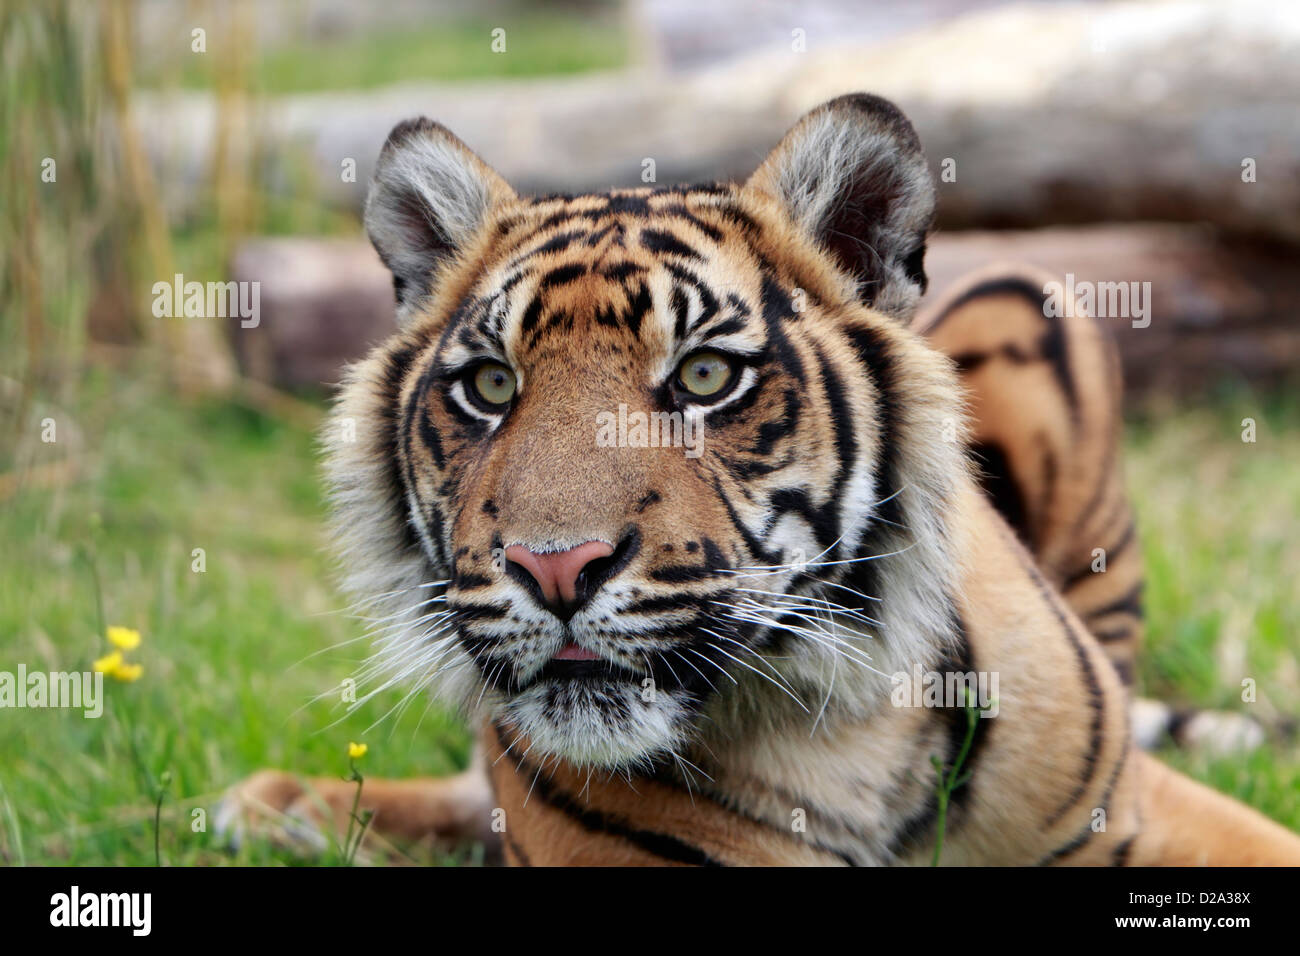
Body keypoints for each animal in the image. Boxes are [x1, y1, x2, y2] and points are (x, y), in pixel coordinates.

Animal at [222, 93, 1300, 865]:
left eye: (705, 376)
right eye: (490, 385)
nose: (555, 567)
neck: (845, 731)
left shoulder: (1139, 809)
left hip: (1028, 294)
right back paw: (273, 804)